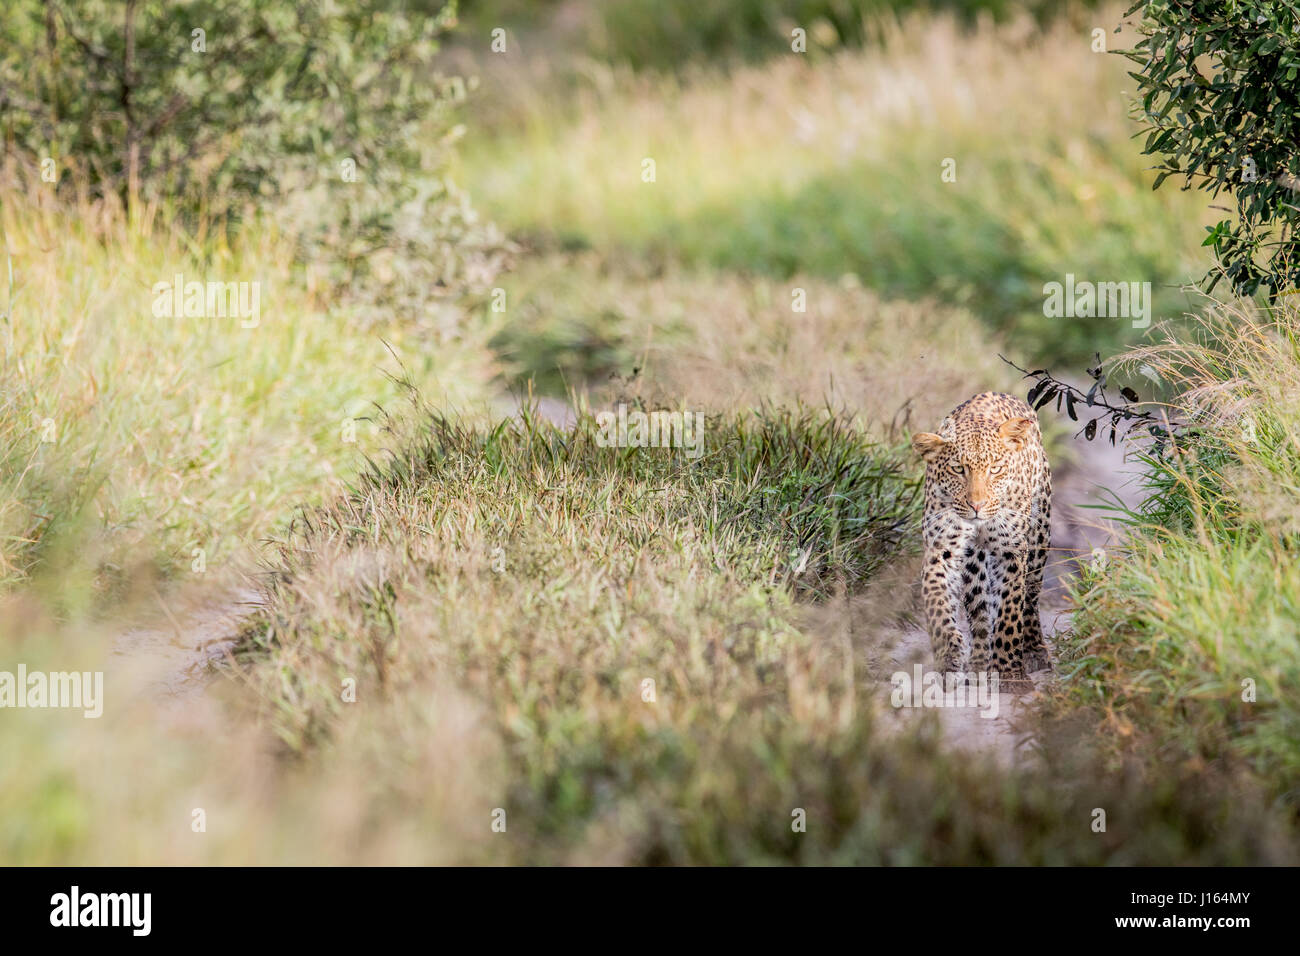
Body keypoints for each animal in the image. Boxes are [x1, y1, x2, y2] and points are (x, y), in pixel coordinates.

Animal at [910, 391, 1052, 684]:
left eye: (995, 469)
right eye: (957, 469)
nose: (977, 505)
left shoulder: (1010, 549)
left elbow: (1010, 608)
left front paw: (1009, 671)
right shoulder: (942, 548)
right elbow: (937, 602)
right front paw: (949, 658)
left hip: (1039, 537)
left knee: (1031, 597)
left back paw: (1035, 651)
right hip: (973, 560)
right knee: (979, 611)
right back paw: (977, 663)